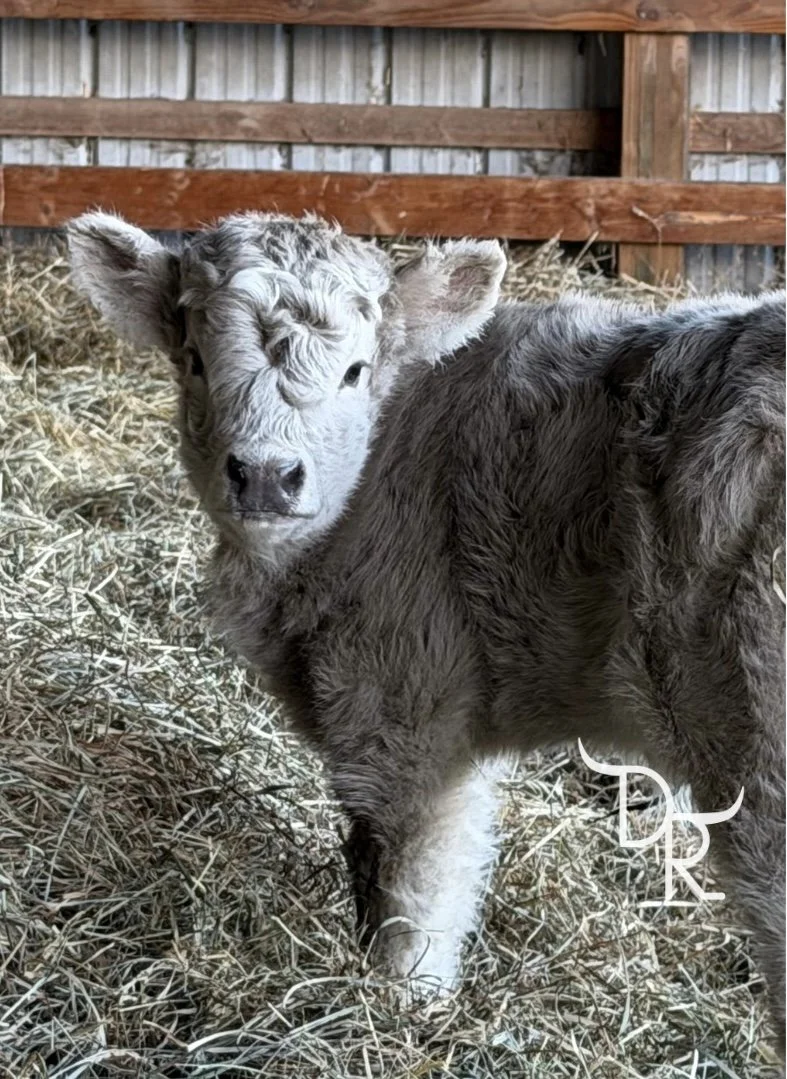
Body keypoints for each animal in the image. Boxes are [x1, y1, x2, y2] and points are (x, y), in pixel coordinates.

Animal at [68, 210, 786, 1047]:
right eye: (194, 360)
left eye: (353, 371)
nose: (267, 476)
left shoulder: (403, 708)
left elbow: (415, 883)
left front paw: (403, 1010)